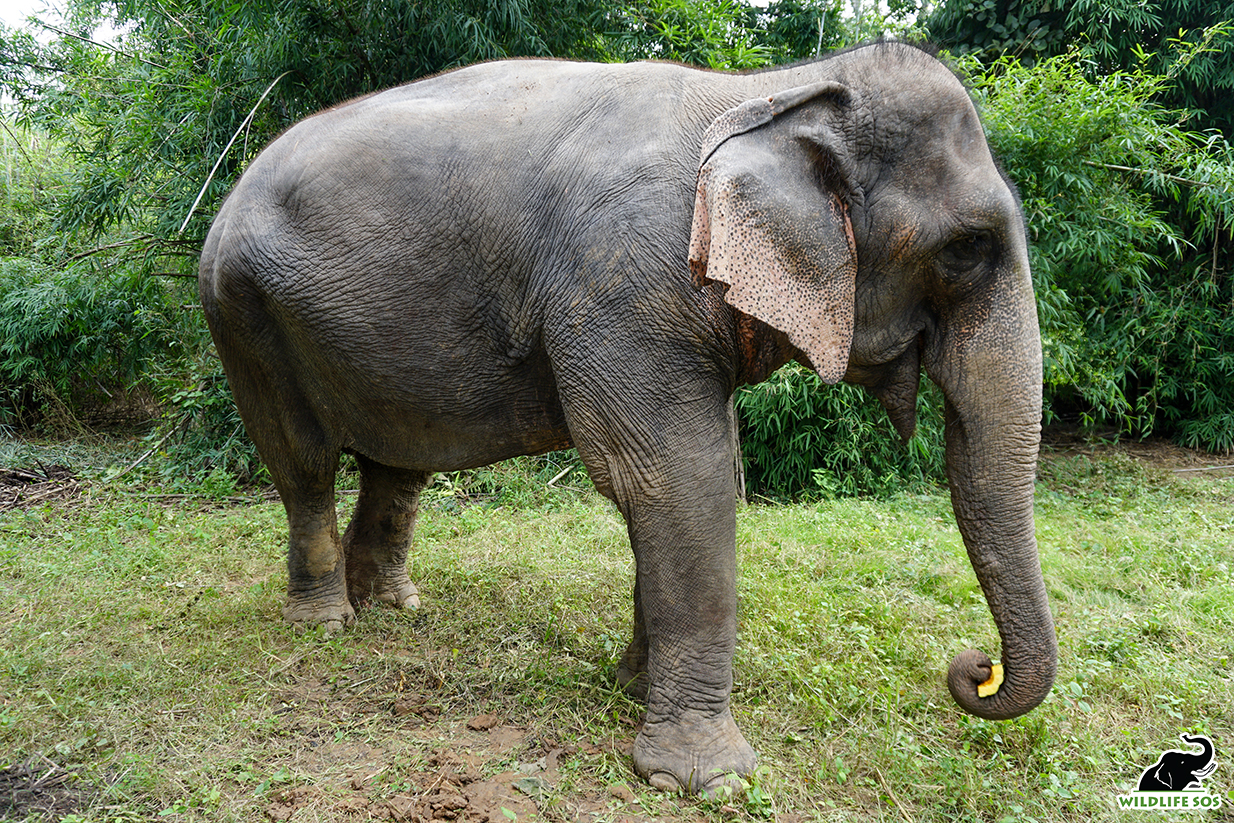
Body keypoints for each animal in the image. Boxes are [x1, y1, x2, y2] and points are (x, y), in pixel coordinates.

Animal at [198, 41, 1057, 794]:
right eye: (967, 248)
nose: (976, 670)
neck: (770, 92)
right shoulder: (624, 286)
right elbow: (677, 479)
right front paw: (706, 780)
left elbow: (689, 481)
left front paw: (629, 687)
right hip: (243, 311)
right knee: (304, 462)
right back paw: (325, 621)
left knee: (398, 460)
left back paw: (395, 607)